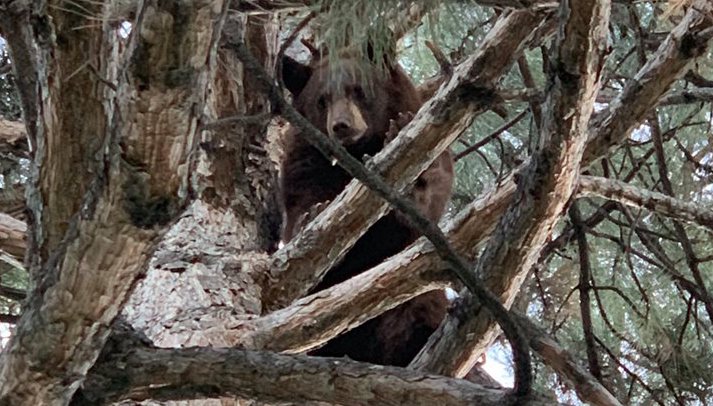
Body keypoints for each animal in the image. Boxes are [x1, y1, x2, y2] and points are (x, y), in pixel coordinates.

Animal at [279, 45, 454, 367]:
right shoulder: (305, 162)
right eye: (321, 100)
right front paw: (312, 215)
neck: (357, 154)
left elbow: (428, 192)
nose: (341, 126)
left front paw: (409, 179)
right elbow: (300, 203)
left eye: (358, 90)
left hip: (412, 304)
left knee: (416, 318)